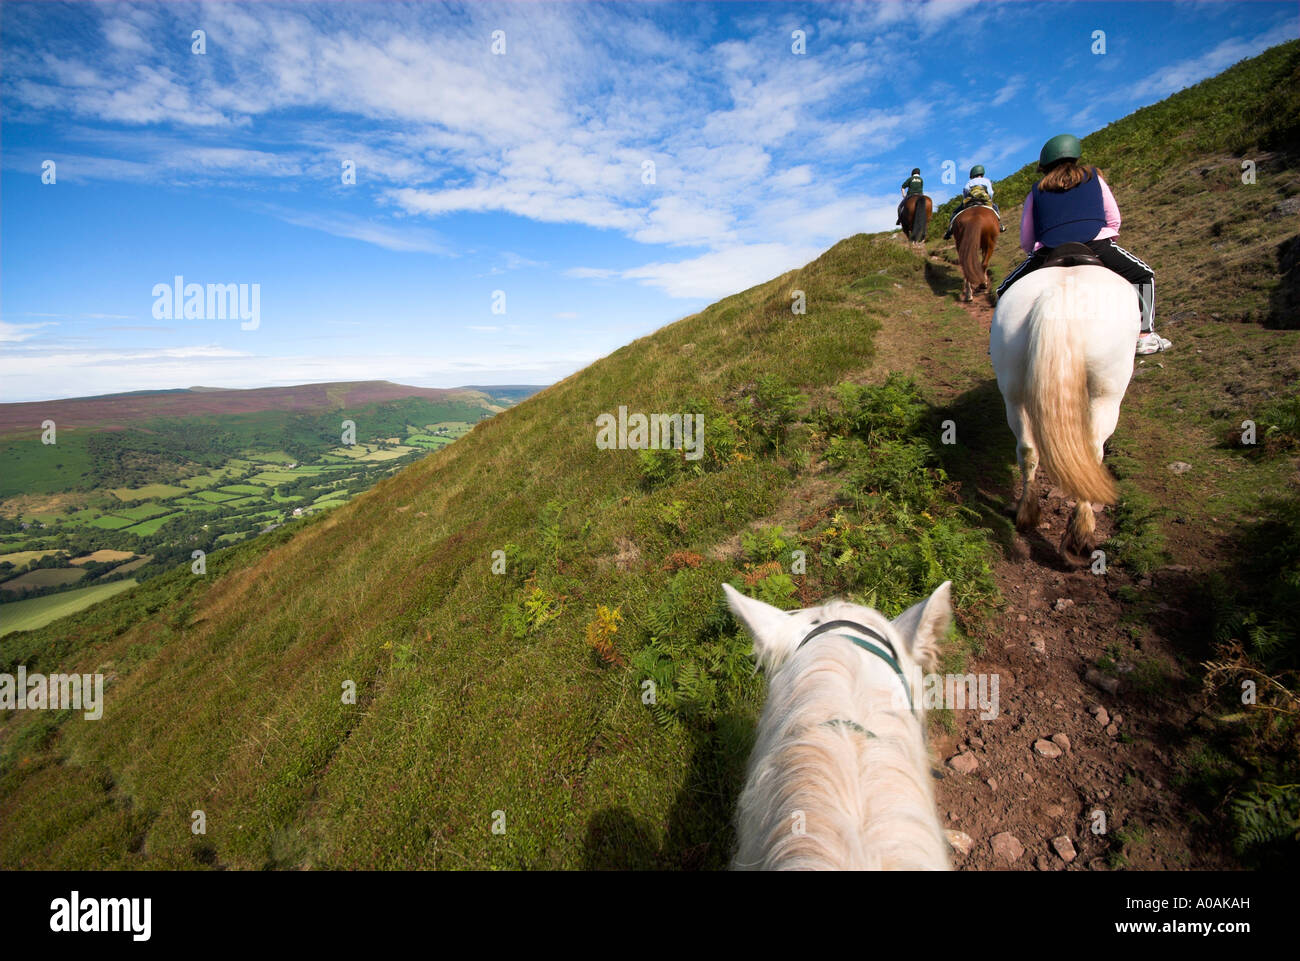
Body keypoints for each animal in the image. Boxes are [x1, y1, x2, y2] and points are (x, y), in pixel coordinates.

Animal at [989, 252, 1140, 557]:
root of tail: (1060, 295)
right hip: (1105, 394)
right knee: (1090, 453)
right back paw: (1081, 533)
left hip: (1013, 388)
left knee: (1027, 449)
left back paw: (1026, 513)